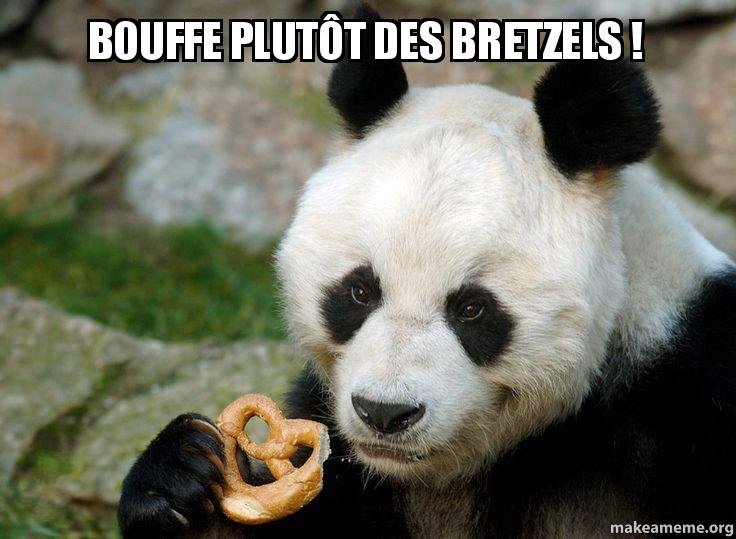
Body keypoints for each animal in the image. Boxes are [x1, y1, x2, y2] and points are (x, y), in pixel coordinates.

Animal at [118, 5, 736, 538]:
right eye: (359, 291)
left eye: (472, 308)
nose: (384, 413)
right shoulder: (341, 449)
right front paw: (180, 478)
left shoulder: (688, 403)